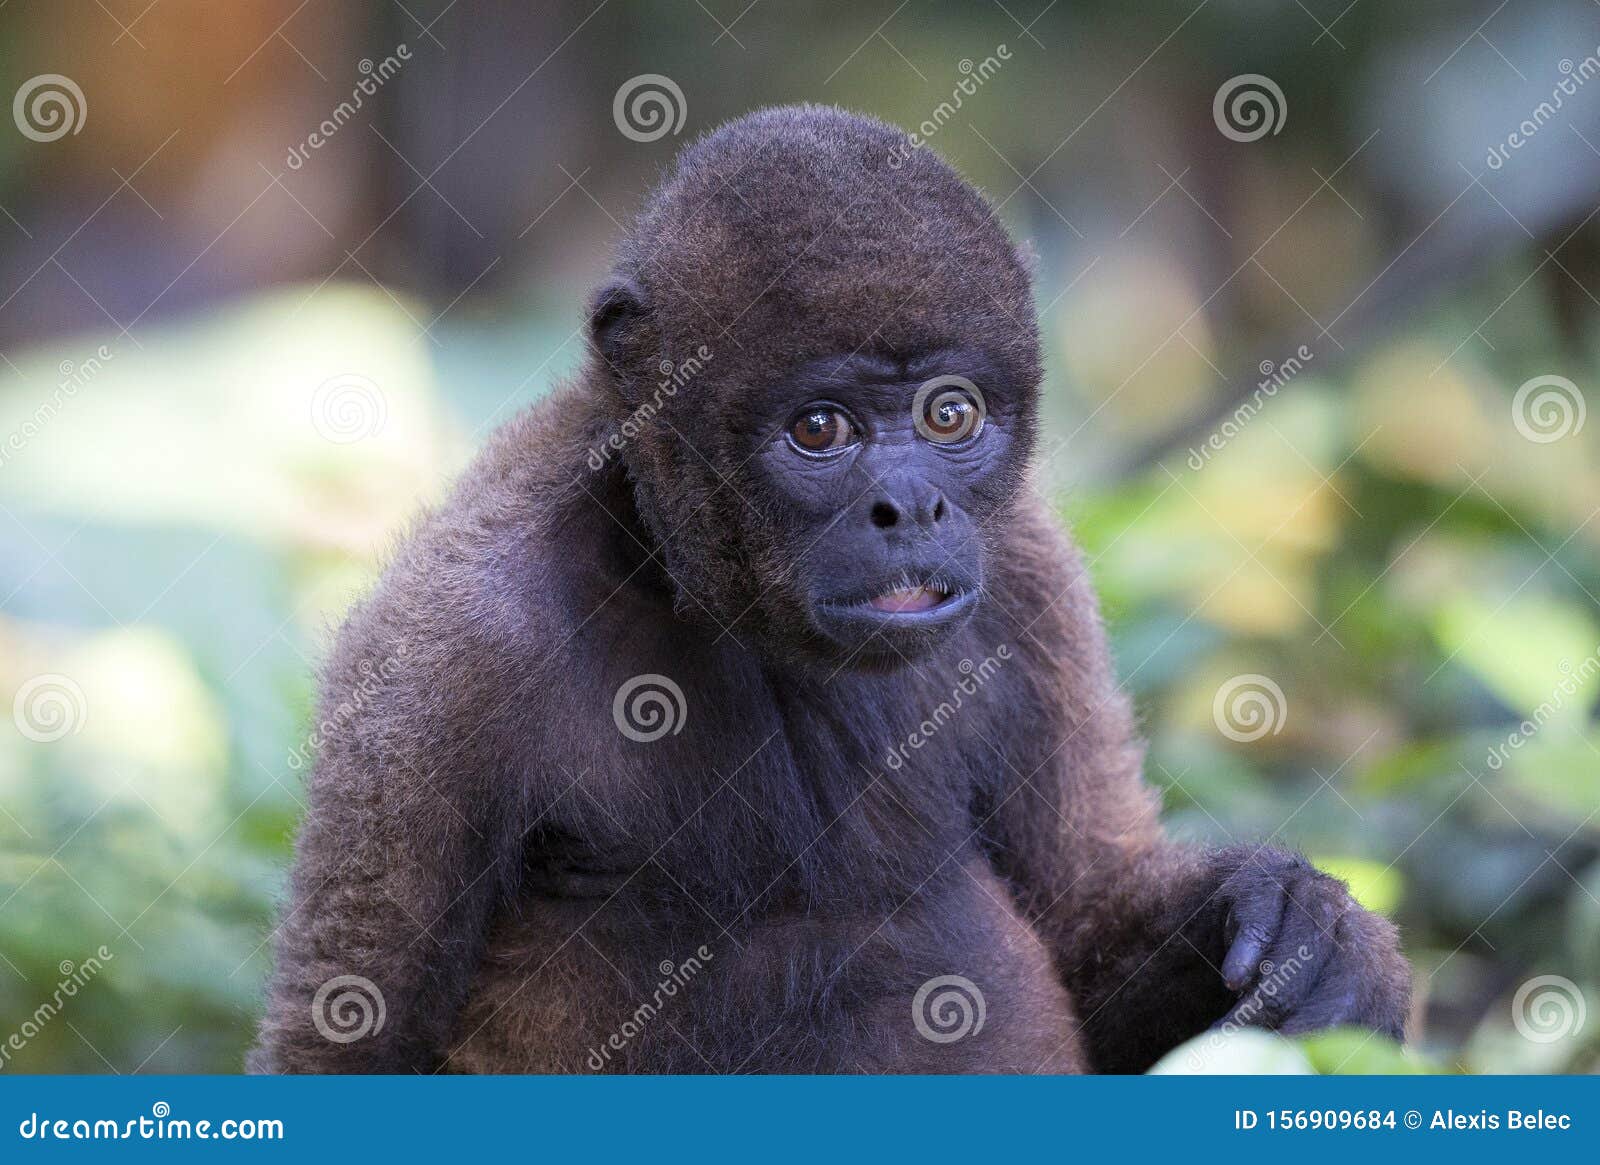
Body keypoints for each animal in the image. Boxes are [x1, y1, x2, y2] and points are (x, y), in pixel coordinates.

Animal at [249, 105, 1410, 1074]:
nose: (910, 505)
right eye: (820, 429)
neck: (682, 576)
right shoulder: (442, 655)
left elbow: (1084, 910)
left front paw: (1305, 925)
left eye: (950, 414)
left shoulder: (1032, 576)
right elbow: (352, 1039)